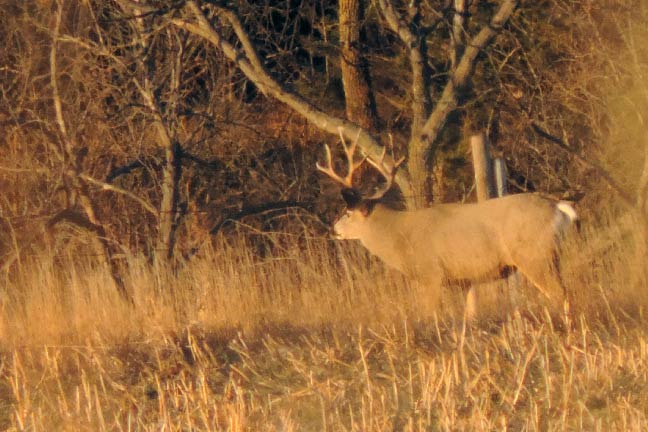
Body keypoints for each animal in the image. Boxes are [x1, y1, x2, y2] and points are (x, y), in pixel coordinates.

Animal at [317, 130, 578, 319]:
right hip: (551, 257)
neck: (400, 237)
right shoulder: (467, 279)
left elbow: (429, 314)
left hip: (534, 256)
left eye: (347, 212)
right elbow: (470, 316)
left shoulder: (431, 274)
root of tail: (558, 206)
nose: (333, 230)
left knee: (560, 294)